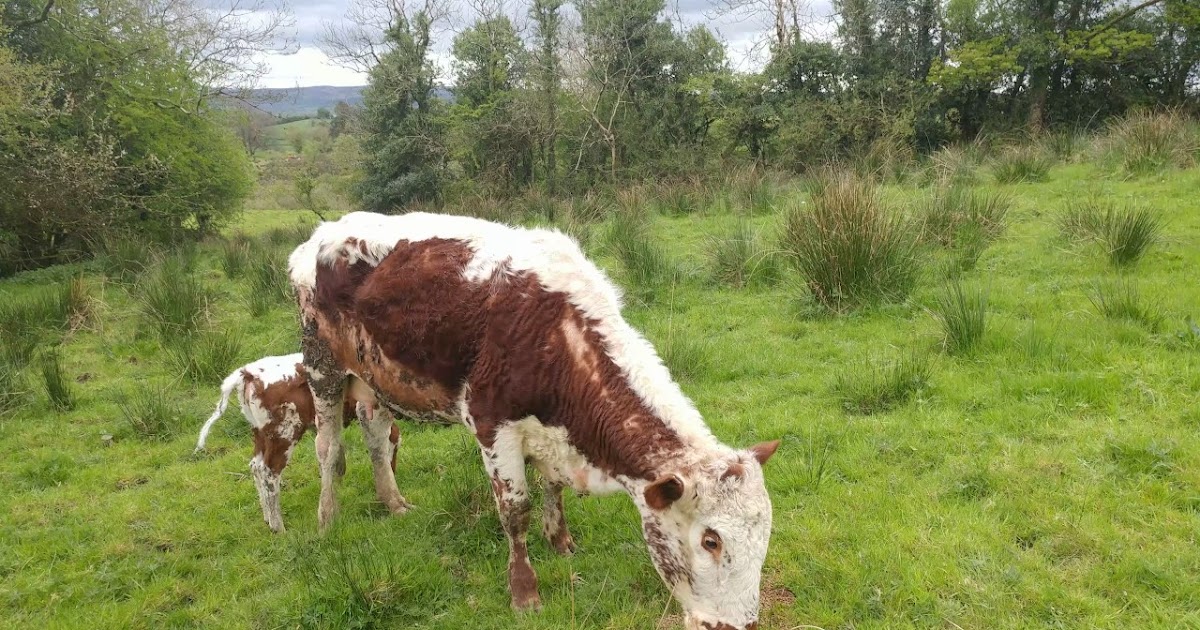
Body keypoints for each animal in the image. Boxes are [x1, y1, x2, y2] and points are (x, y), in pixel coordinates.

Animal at [194, 354, 408, 533]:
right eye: (396, 451)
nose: (395, 469)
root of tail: (248, 372)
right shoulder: (368, 410)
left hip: (260, 433)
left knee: (255, 466)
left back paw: (267, 518)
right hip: (284, 434)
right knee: (269, 472)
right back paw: (279, 528)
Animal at [288, 211, 779, 630]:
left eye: (765, 536)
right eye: (711, 540)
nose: (739, 626)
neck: (557, 336)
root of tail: (323, 233)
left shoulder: (551, 433)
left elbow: (553, 487)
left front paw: (560, 541)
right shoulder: (491, 423)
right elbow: (514, 510)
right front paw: (525, 593)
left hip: (375, 379)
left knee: (374, 435)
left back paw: (394, 503)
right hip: (322, 365)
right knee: (328, 449)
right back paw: (327, 519)